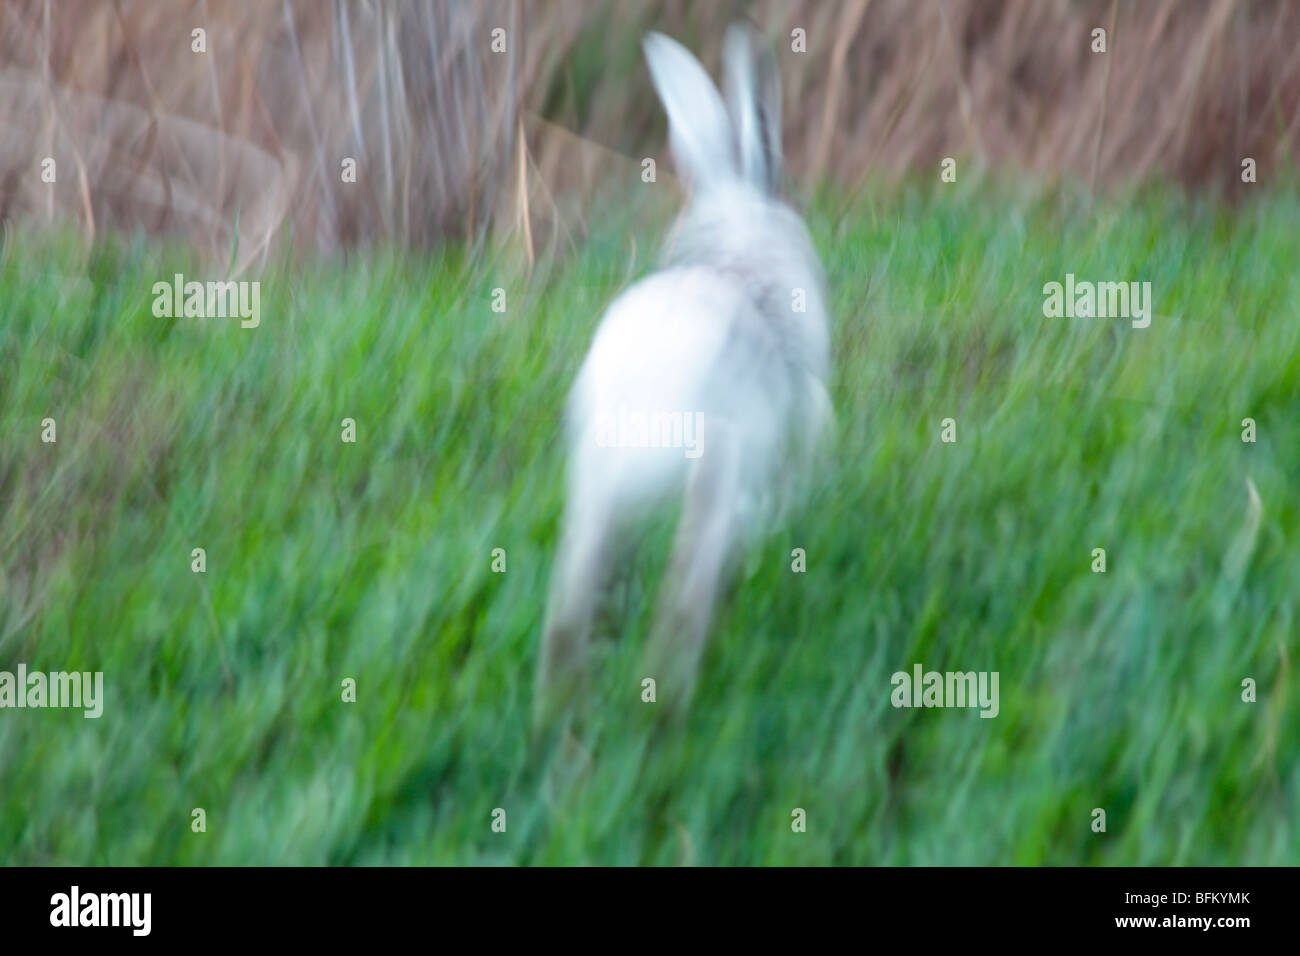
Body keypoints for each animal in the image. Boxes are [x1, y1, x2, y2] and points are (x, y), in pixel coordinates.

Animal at [535, 23, 832, 723]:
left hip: (595, 480)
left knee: (571, 604)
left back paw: (558, 711)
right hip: (714, 467)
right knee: (682, 601)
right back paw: (666, 705)